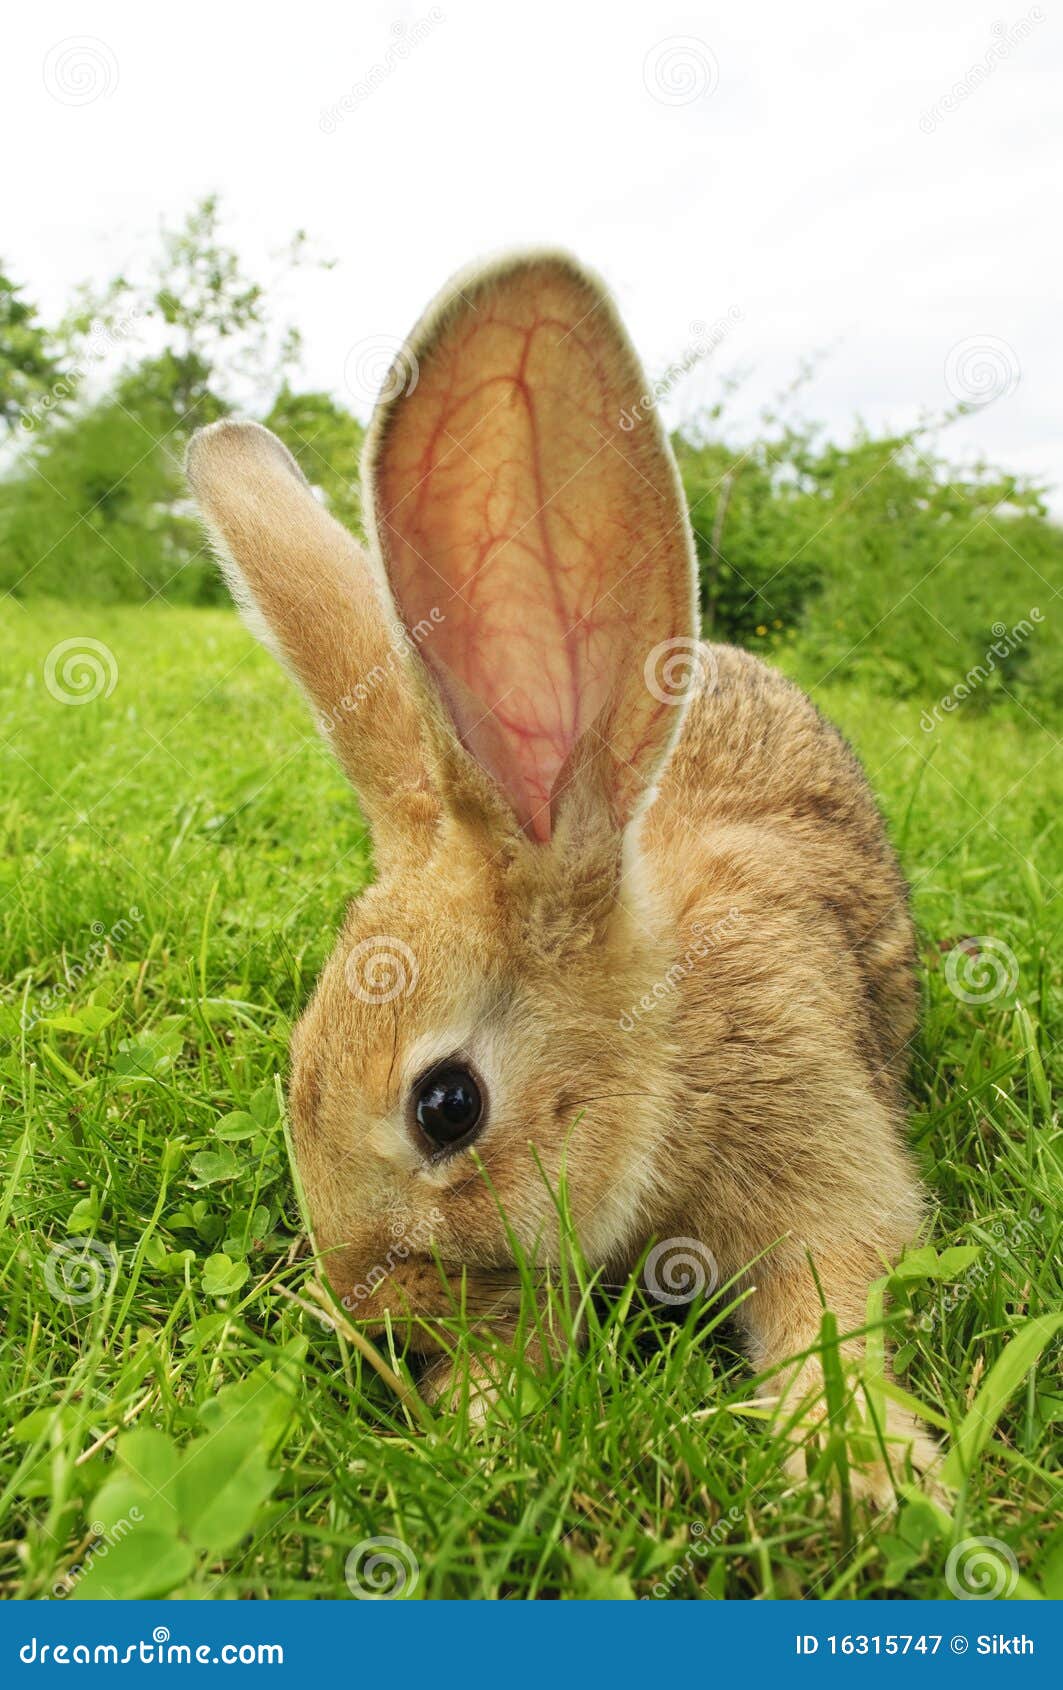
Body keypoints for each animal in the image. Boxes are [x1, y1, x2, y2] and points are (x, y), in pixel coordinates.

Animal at [186, 250, 938, 1502]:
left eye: (447, 1106)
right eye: (296, 1066)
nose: (370, 1308)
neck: (674, 1055)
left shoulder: (821, 1155)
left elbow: (827, 1299)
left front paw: (865, 1474)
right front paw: (476, 1419)